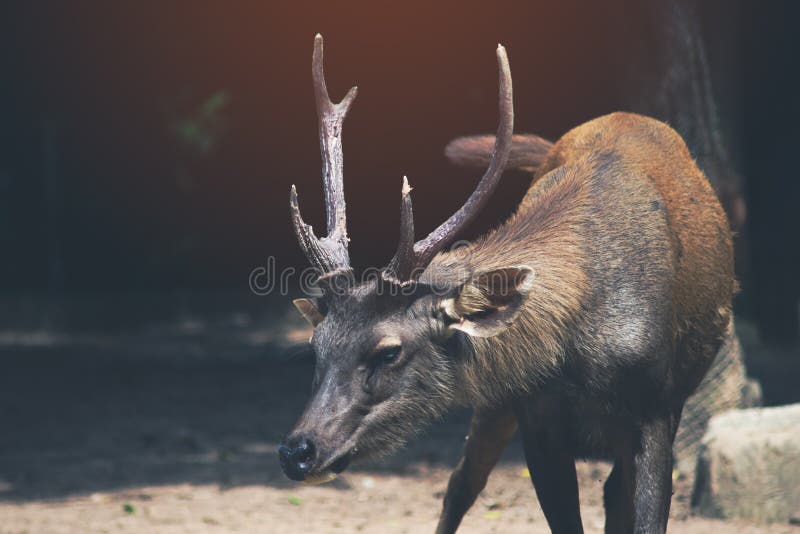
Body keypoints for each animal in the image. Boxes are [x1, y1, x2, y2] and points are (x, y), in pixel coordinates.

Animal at [278, 34, 734, 534]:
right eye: (315, 346)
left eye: (389, 351)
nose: (296, 451)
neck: (580, 356)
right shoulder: (534, 419)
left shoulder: (655, 410)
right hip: (496, 403)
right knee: (461, 483)